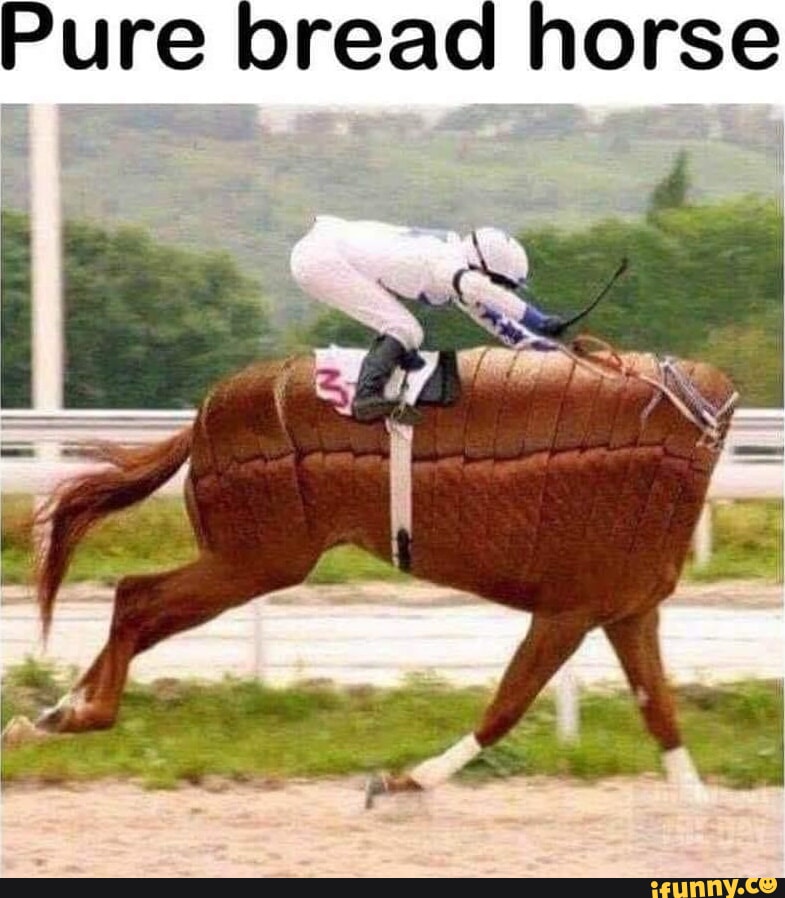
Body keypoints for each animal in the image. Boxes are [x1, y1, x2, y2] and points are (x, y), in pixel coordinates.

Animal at [7, 341, 738, 804]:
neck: (676, 431)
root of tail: (202, 418)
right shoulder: (570, 608)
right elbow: (507, 703)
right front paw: (401, 782)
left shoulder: (625, 610)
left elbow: (660, 712)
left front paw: (700, 806)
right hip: (254, 559)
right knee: (137, 598)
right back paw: (70, 714)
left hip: (248, 560)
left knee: (136, 601)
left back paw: (59, 711)